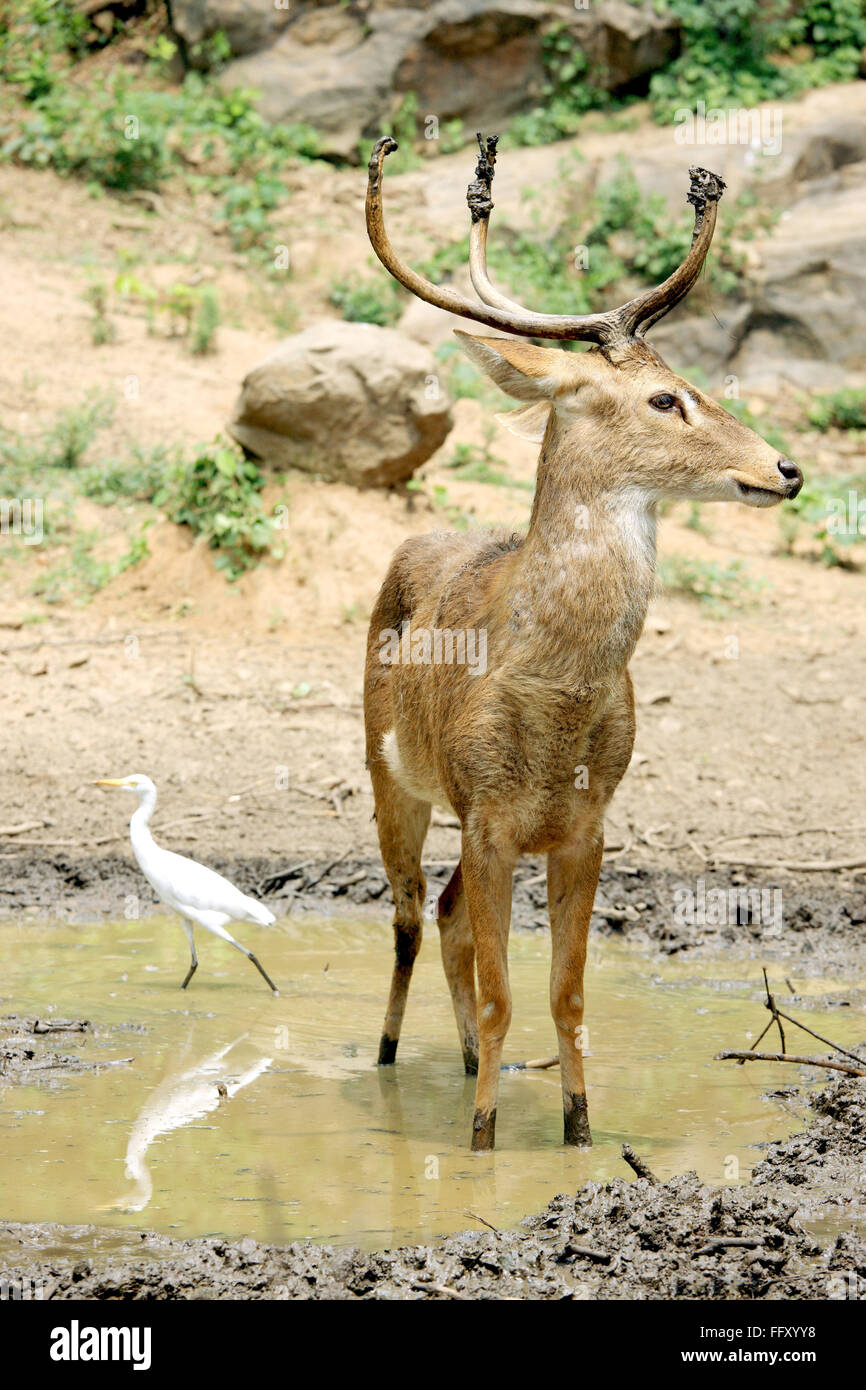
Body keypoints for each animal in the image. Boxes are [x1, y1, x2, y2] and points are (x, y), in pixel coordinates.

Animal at [363, 134, 802, 1152]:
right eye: (666, 398)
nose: (786, 468)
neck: (556, 696)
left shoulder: (588, 824)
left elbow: (565, 998)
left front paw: (578, 1134)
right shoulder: (486, 814)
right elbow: (501, 997)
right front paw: (482, 1146)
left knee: (444, 914)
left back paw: (469, 1071)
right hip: (386, 770)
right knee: (407, 915)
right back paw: (391, 1060)